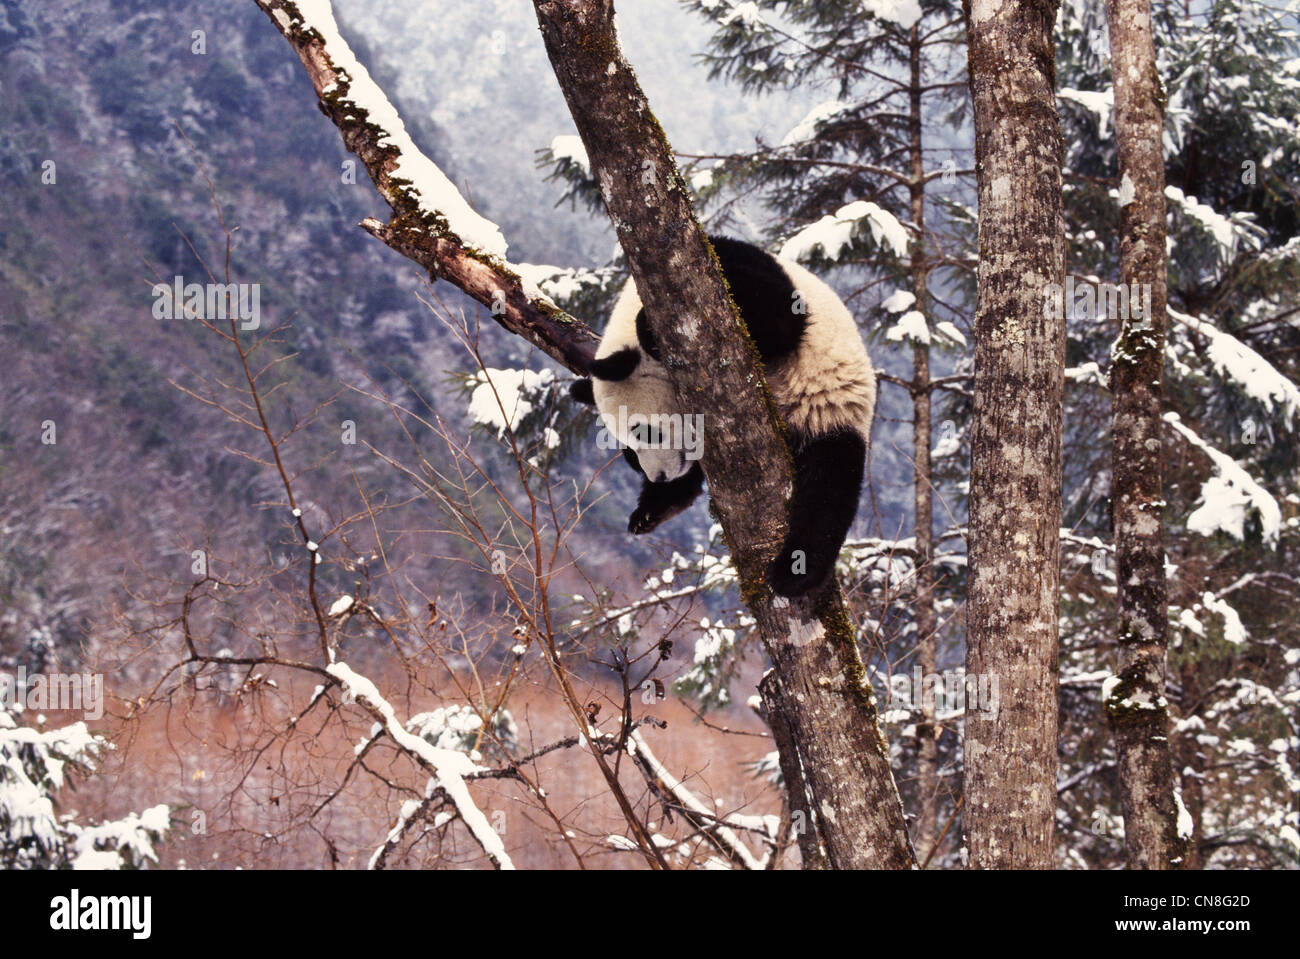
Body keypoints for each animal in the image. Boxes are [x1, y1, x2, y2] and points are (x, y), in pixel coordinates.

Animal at [570, 236, 876, 597]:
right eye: (628, 453)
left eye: (645, 432)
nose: (660, 477)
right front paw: (651, 510)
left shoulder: (726, 269)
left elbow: (779, 319)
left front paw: (647, 328)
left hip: (827, 406)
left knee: (829, 485)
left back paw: (796, 572)